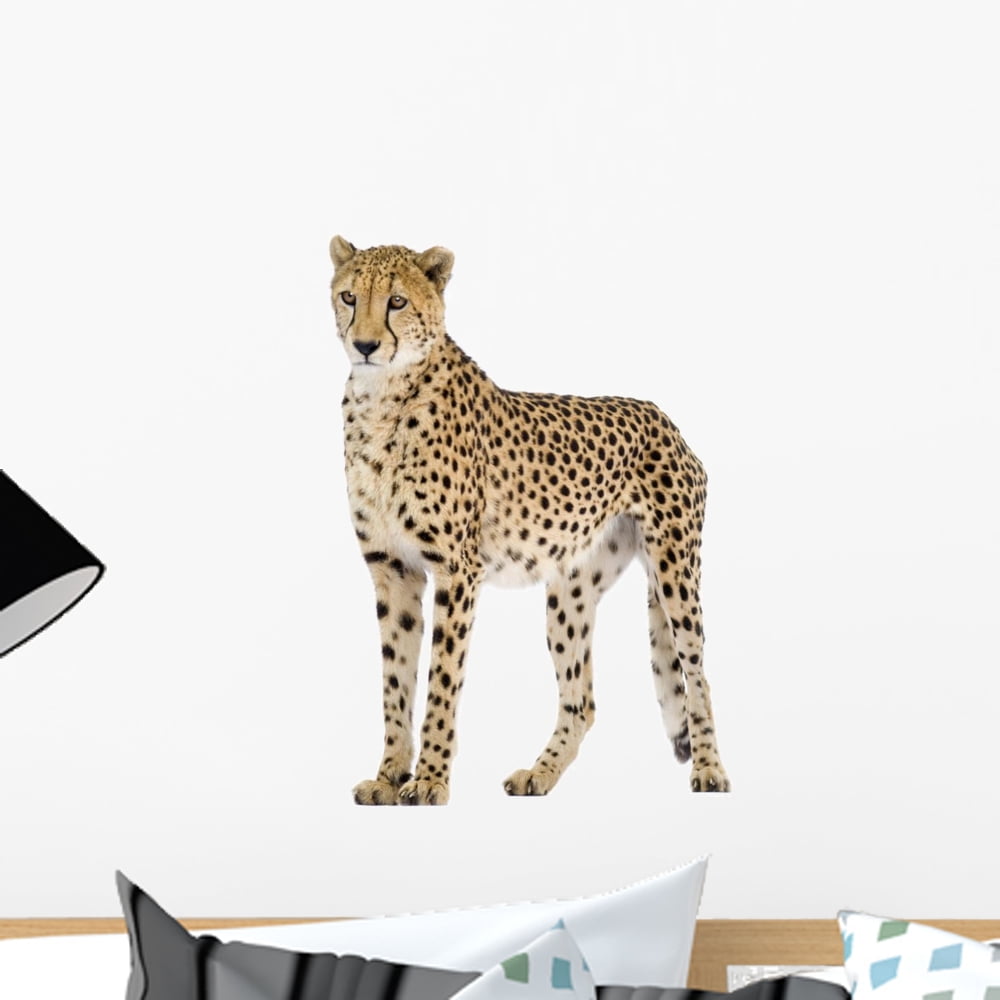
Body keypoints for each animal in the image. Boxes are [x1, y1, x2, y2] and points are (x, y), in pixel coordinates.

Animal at [329, 235, 730, 804]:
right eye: (348, 296)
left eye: (397, 302)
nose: (364, 345)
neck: (381, 396)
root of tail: (663, 417)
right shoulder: (392, 570)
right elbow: (395, 682)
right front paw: (389, 776)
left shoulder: (456, 571)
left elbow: (441, 682)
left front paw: (429, 780)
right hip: (571, 589)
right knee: (581, 700)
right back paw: (539, 773)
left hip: (675, 572)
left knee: (697, 673)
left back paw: (710, 770)